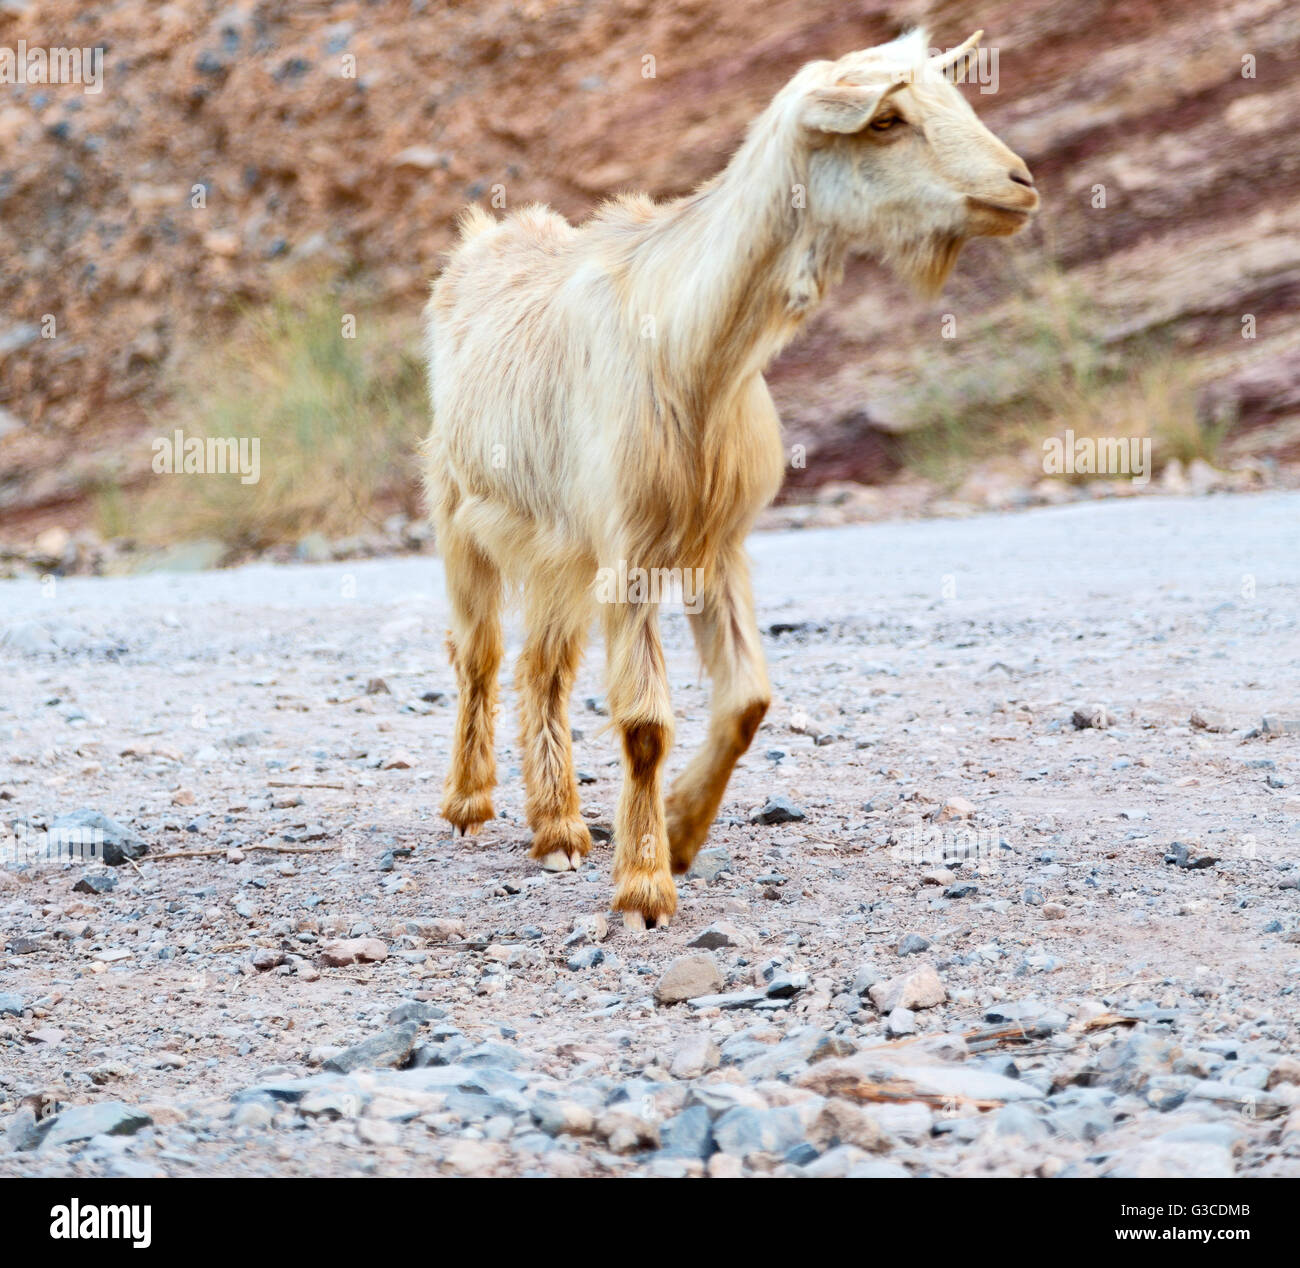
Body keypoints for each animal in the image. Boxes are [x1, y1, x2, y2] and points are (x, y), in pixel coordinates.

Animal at [423, 29, 1037, 929]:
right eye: (887, 119)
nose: (1020, 184)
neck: (695, 352)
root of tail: (480, 241)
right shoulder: (631, 546)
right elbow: (645, 721)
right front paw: (645, 886)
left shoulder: (718, 543)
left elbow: (748, 700)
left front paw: (679, 832)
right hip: (460, 510)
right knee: (478, 652)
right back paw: (471, 804)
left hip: (560, 547)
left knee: (546, 665)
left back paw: (559, 826)